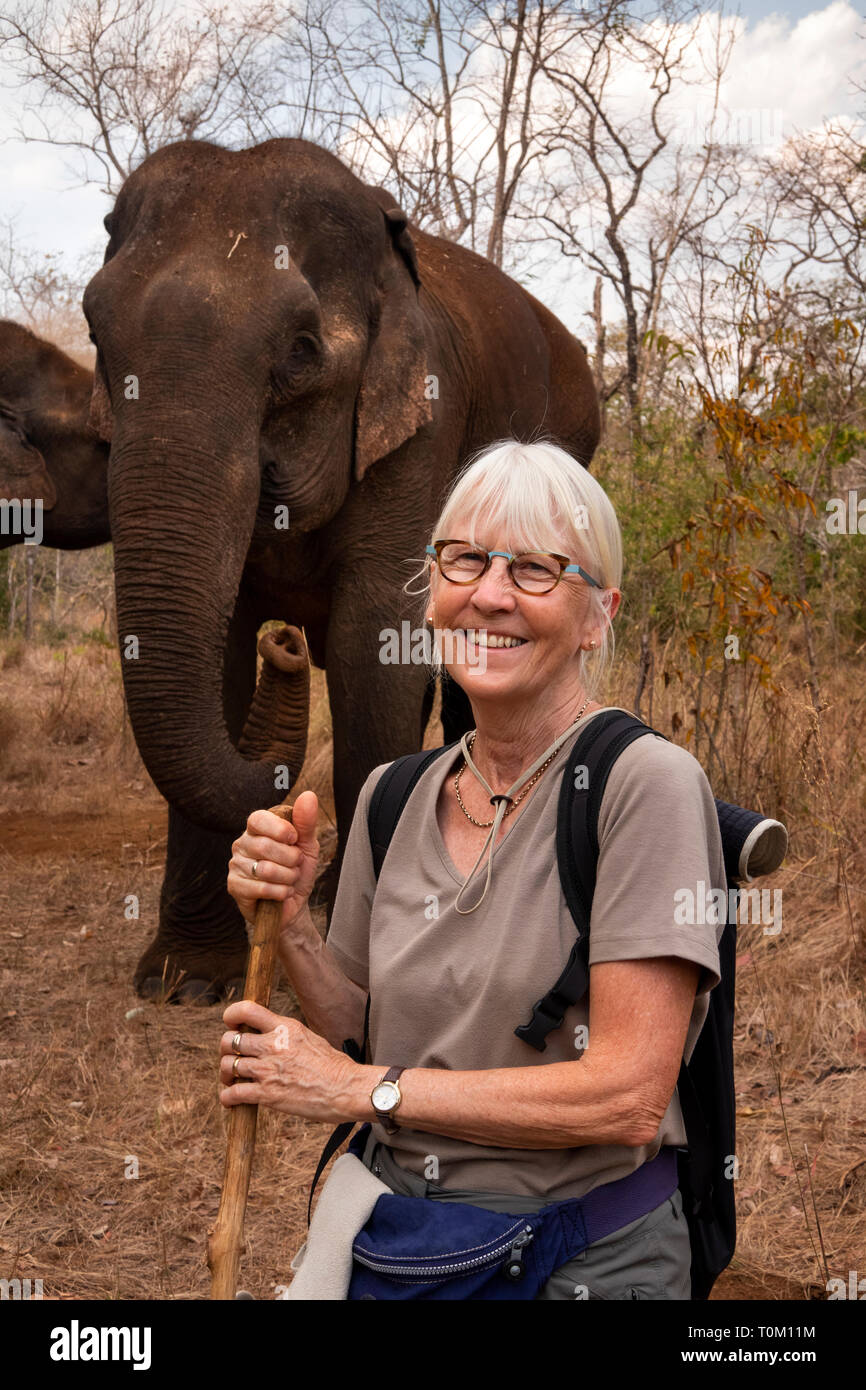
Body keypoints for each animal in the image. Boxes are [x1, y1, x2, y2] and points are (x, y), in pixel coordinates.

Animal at [81, 137, 601, 1003]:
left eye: (300, 353)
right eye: (93, 334)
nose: (285, 648)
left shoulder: (422, 424)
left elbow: (375, 647)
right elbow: (221, 657)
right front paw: (184, 983)